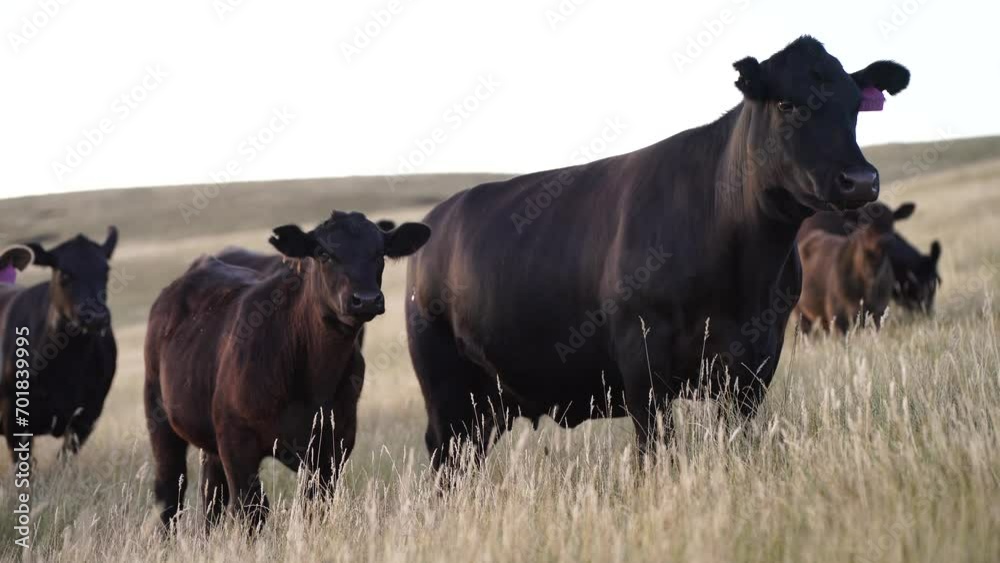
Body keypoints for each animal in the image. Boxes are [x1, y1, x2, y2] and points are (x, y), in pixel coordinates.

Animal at [144, 211, 429, 532]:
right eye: (323, 253)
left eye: (379, 253)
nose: (366, 299)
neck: (313, 377)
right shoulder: (236, 440)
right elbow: (252, 508)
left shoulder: (334, 446)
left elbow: (314, 507)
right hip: (159, 414)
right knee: (170, 490)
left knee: (211, 496)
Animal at [796, 202, 901, 333]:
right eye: (864, 221)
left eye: (892, 222)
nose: (886, 240)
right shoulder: (838, 316)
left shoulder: (878, 312)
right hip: (801, 311)